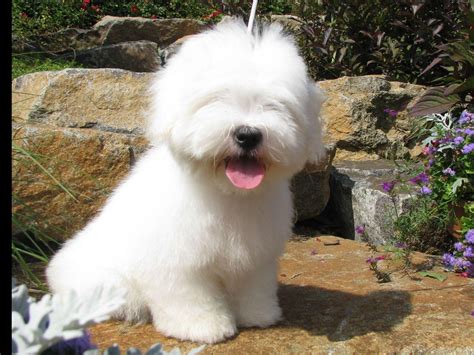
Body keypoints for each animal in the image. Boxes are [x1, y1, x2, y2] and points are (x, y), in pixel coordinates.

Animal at [47, 18, 326, 344]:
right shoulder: (178, 261)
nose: (247, 135)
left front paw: (258, 314)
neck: (227, 193)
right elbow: (189, 296)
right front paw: (202, 326)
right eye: (217, 99)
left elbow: (252, 286)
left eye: (275, 105)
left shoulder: (255, 258)